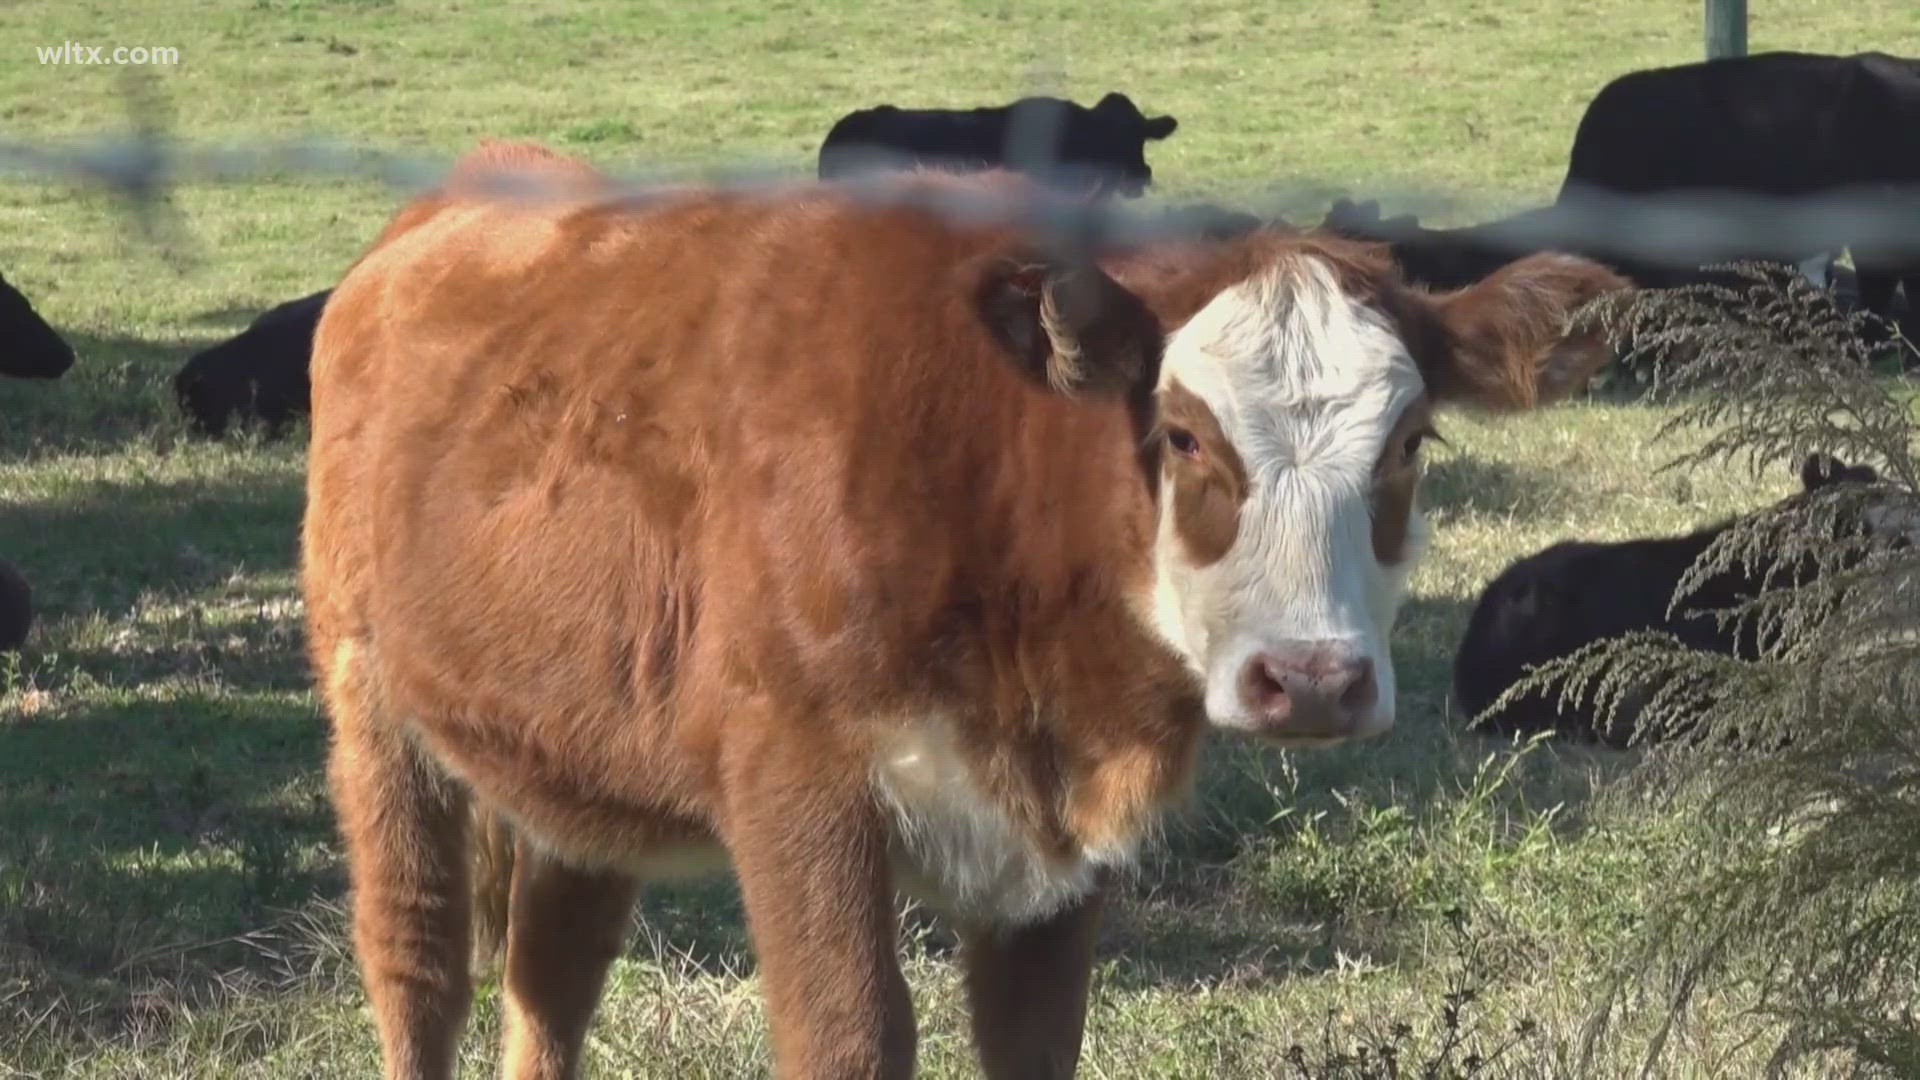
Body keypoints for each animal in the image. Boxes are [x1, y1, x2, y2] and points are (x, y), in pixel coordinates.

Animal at [303, 140, 1625, 1080]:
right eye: (1182, 435)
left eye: (1410, 442)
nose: (1310, 680)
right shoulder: (797, 785)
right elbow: (852, 1037)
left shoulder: (1060, 855)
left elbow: (1035, 1043)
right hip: (370, 699)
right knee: (419, 965)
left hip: (577, 757)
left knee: (552, 974)